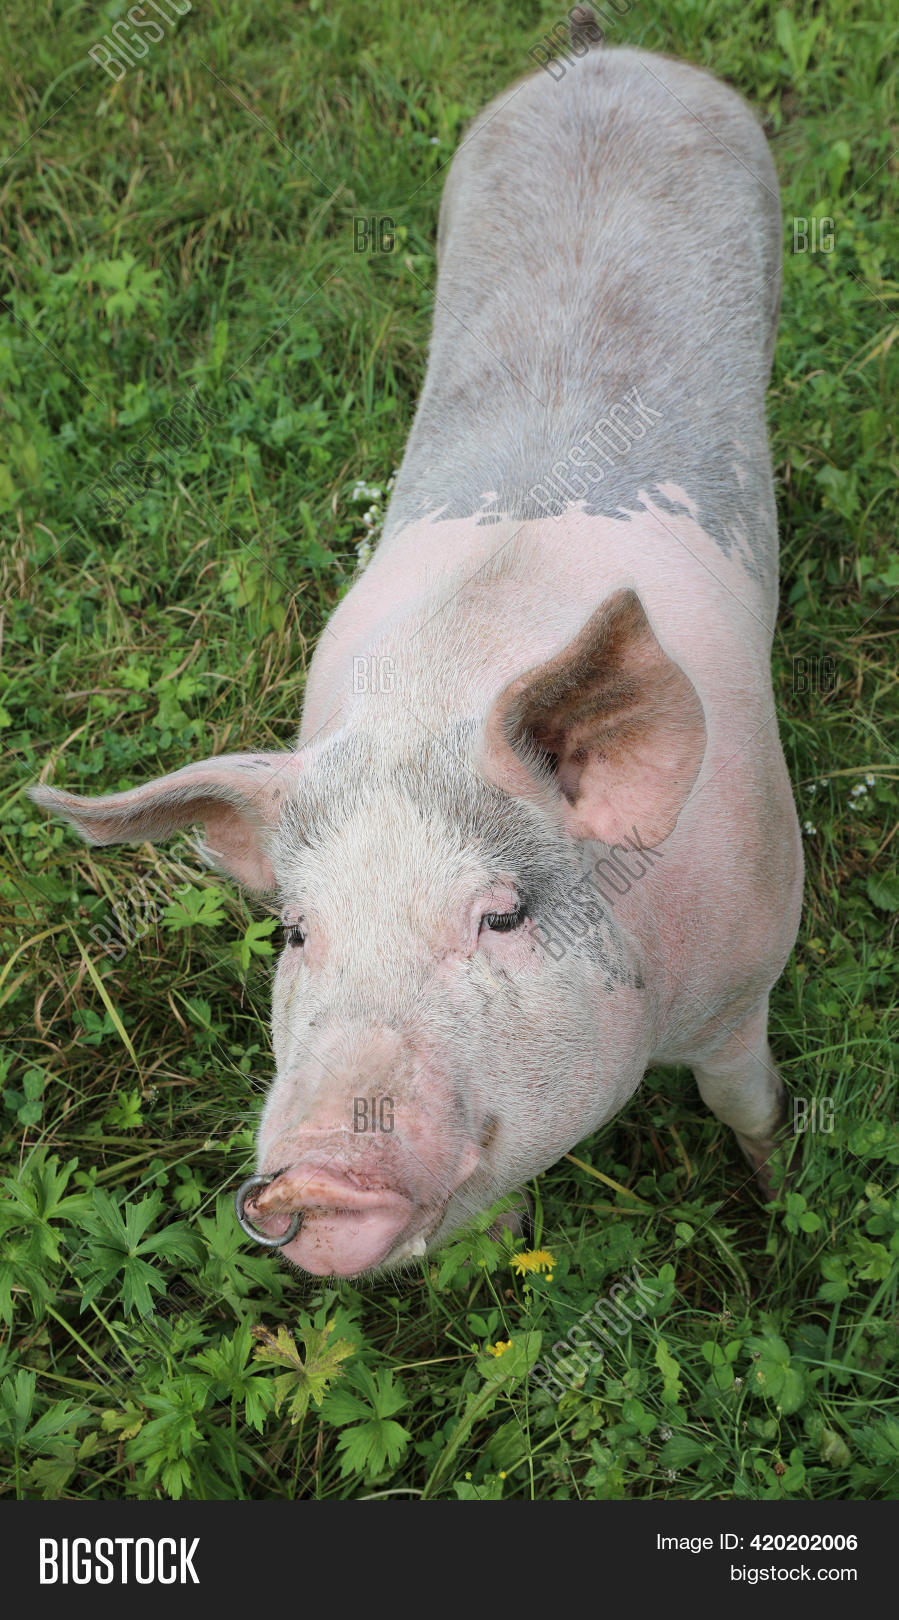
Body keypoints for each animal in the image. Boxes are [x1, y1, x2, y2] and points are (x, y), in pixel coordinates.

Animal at [31, 34, 803, 1279]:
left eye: (502, 914)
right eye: (296, 931)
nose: (310, 1178)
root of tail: (602, 53)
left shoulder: (748, 975)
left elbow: (744, 1104)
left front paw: (778, 1199)